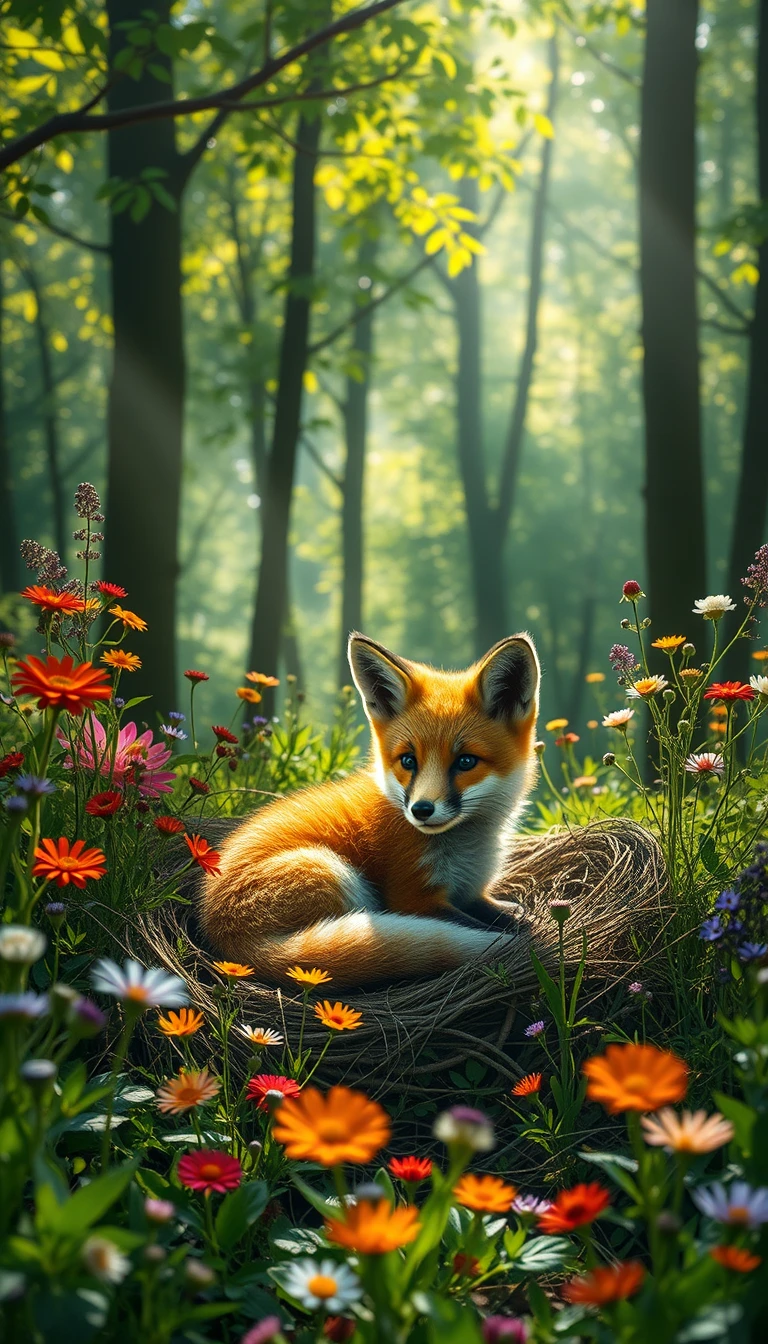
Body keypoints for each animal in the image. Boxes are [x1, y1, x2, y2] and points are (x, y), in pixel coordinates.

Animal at [199, 632, 541, 986]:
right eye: (408, 760)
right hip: (331, 872)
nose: (421, 810)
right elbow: (479, 924)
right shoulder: (413, 898)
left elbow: (497, 912)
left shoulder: (473, 892)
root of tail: (223, 940)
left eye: (465, 762)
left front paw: (516, 914)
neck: (469, 849)